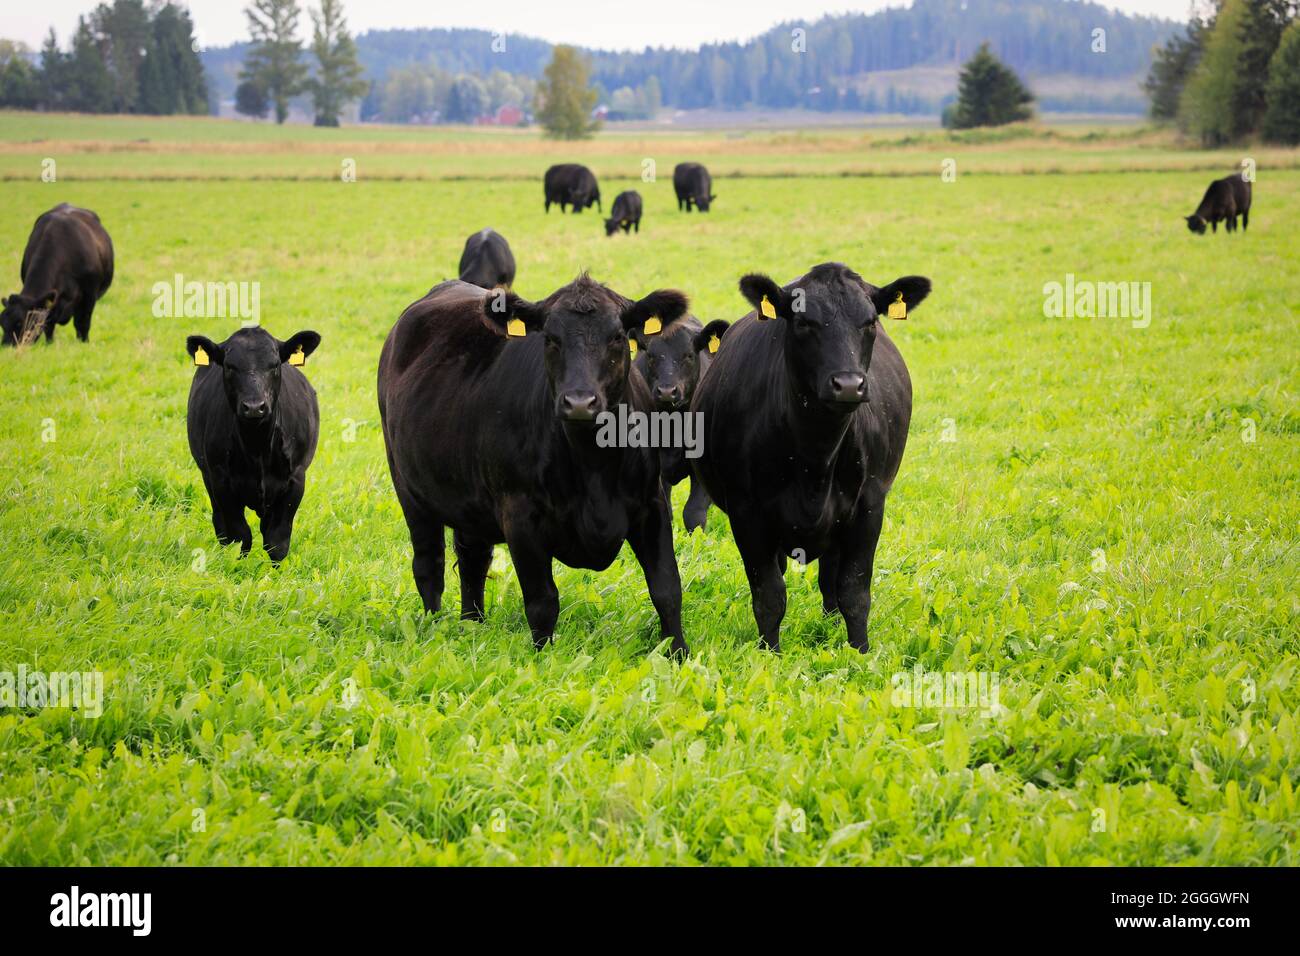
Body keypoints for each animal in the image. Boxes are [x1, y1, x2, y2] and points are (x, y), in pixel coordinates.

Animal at [2, 203, 113, 347]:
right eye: (2, 323)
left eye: (20, 322)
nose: (6, 347)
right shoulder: (50, 302)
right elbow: (48, 325)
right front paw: (49, 344)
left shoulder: (89, 295)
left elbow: (83, 323)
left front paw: (84, 343)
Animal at [184, 326, 322, 563]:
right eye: (229, 366)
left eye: (275, 365)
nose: (254, 407)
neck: (257, 447)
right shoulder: (220, 481)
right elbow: (239, 536)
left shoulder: (295, 480)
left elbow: (277, 541)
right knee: (220, 523)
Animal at [377, 275, 689, 654]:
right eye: (550, 338)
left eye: (617, 336)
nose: (580, 401)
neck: (594, 467)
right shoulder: (520, 517)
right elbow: (542, 601)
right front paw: (544, 657)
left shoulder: (651, 504)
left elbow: (666, 588)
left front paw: (679, 653)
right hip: (408, 489)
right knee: (429, 565)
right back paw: (436, 628)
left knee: (472, 560)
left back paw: (472, 625)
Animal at [691, 262, 931, 652]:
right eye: (804, 323)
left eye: (870, 322)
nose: (848, 385)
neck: (815, 455)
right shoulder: (746, 512)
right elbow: (769, 595)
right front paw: (769, 653)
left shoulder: (869, 506)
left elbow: (855, 591)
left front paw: (859, 651)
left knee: (831, 579)